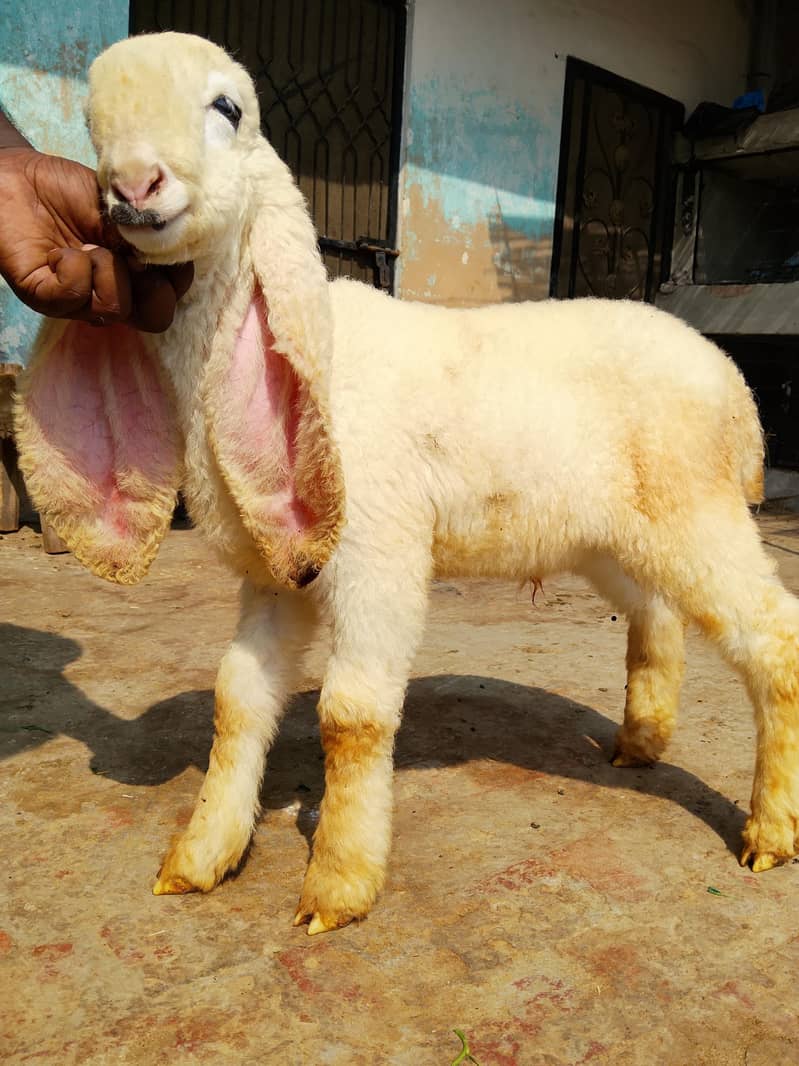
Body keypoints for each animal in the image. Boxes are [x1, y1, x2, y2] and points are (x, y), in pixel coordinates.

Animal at [15, 31, 799, 936]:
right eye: (90, 123)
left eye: (228, 109)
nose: (134, 186)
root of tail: (732, 384)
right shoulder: (276, 568)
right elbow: (237, 697)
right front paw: (202, 852)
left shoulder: (377, 552)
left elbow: (350, 716)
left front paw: (338, 884)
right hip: (610, 532)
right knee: (655, 612)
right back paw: (640, 739)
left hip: (695, 509)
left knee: (774, 636)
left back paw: (770, 828)